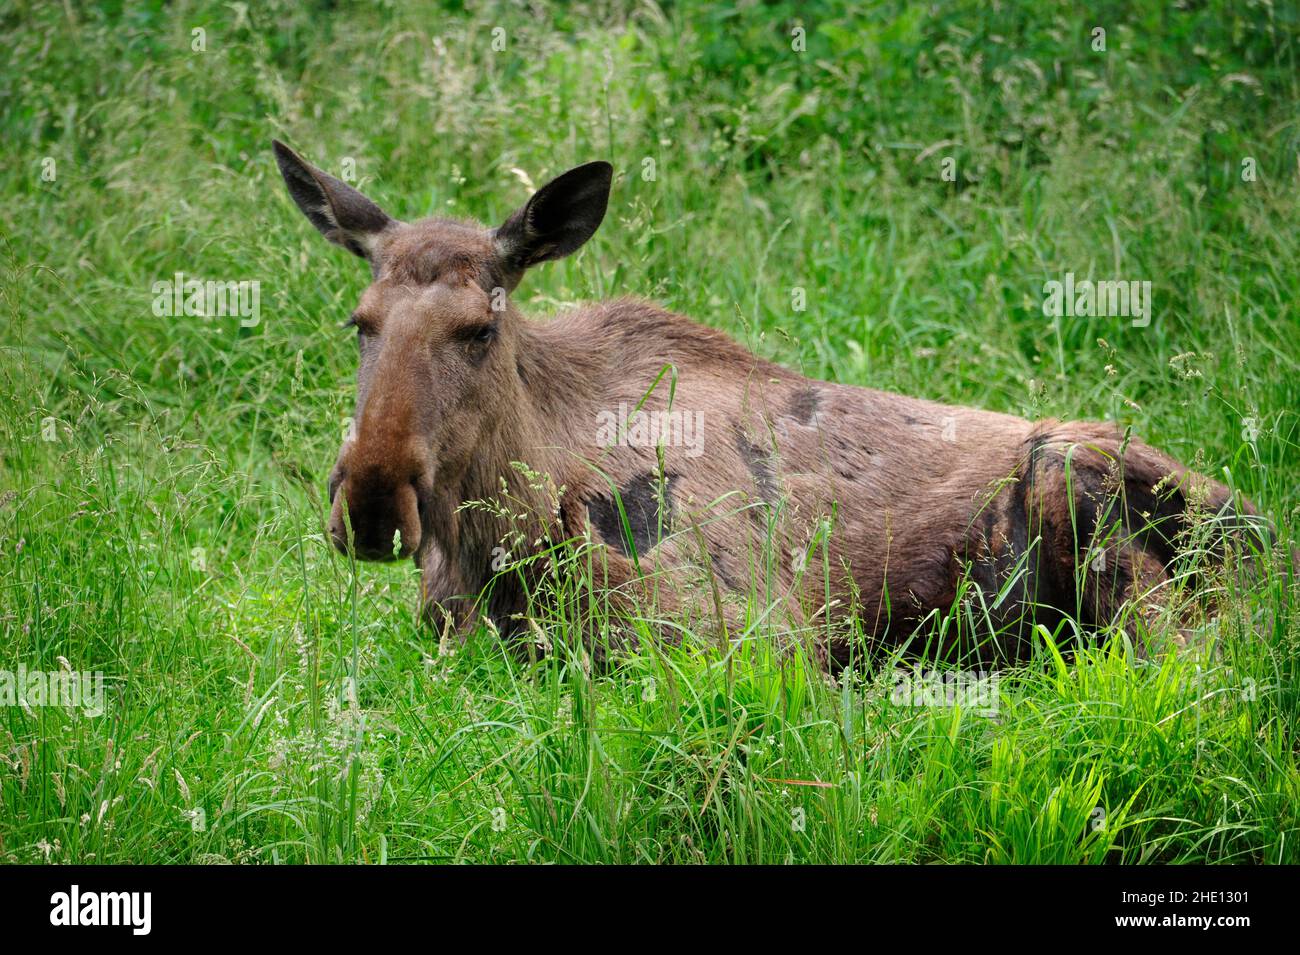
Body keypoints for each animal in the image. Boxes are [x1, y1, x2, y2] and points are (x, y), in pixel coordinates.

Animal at [273, 141, 1270, 667]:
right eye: (360, 322)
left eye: (480, 329)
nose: (372, 496)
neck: (502, 527)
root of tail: (1264, 530)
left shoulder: (752, 632)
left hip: (1095, 509)